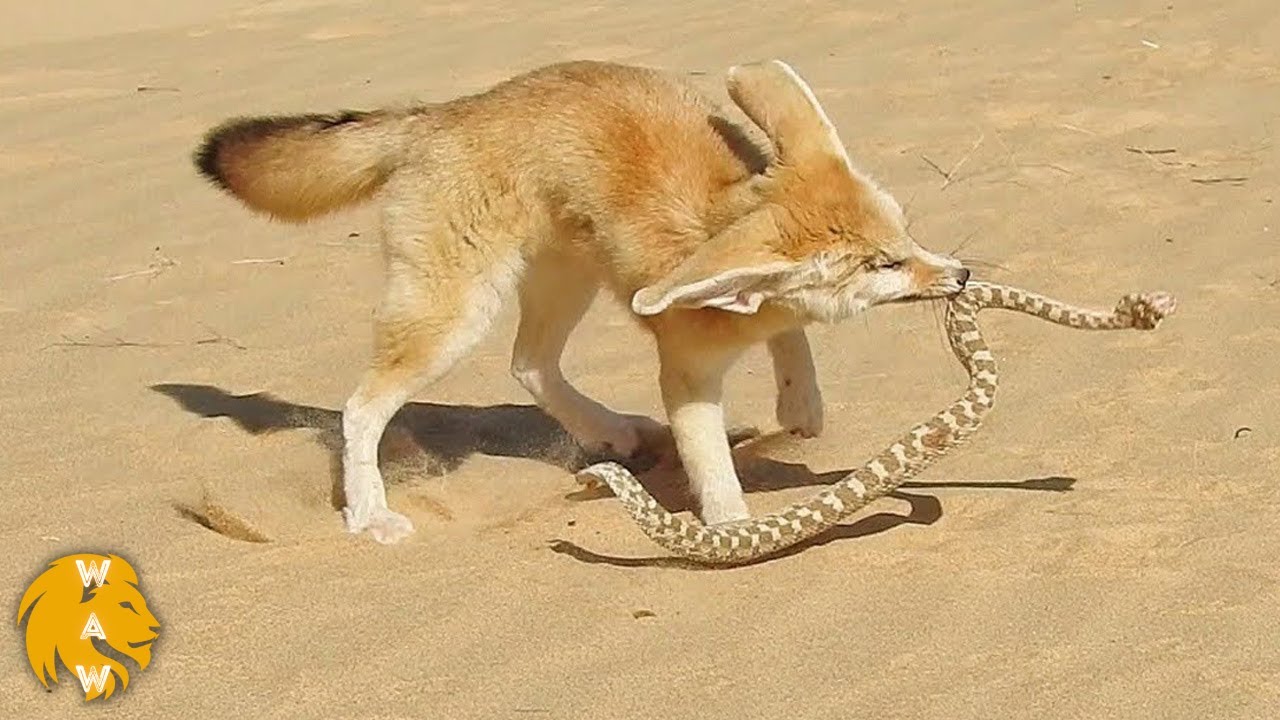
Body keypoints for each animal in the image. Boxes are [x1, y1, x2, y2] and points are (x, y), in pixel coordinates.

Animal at [192, 58, 970, 544]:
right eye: (885, 265)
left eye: (905, 232)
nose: (961, 273)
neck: (715, 217)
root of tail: (445, 115)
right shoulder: (685, 375)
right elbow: (711, 462)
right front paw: (731, 527)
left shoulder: (756, 300)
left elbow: (791, 339)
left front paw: (799, 405)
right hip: (454, 313)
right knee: (362, 407)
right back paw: (369, 513)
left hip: (568, 278)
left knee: (528, 364)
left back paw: (613, 431)